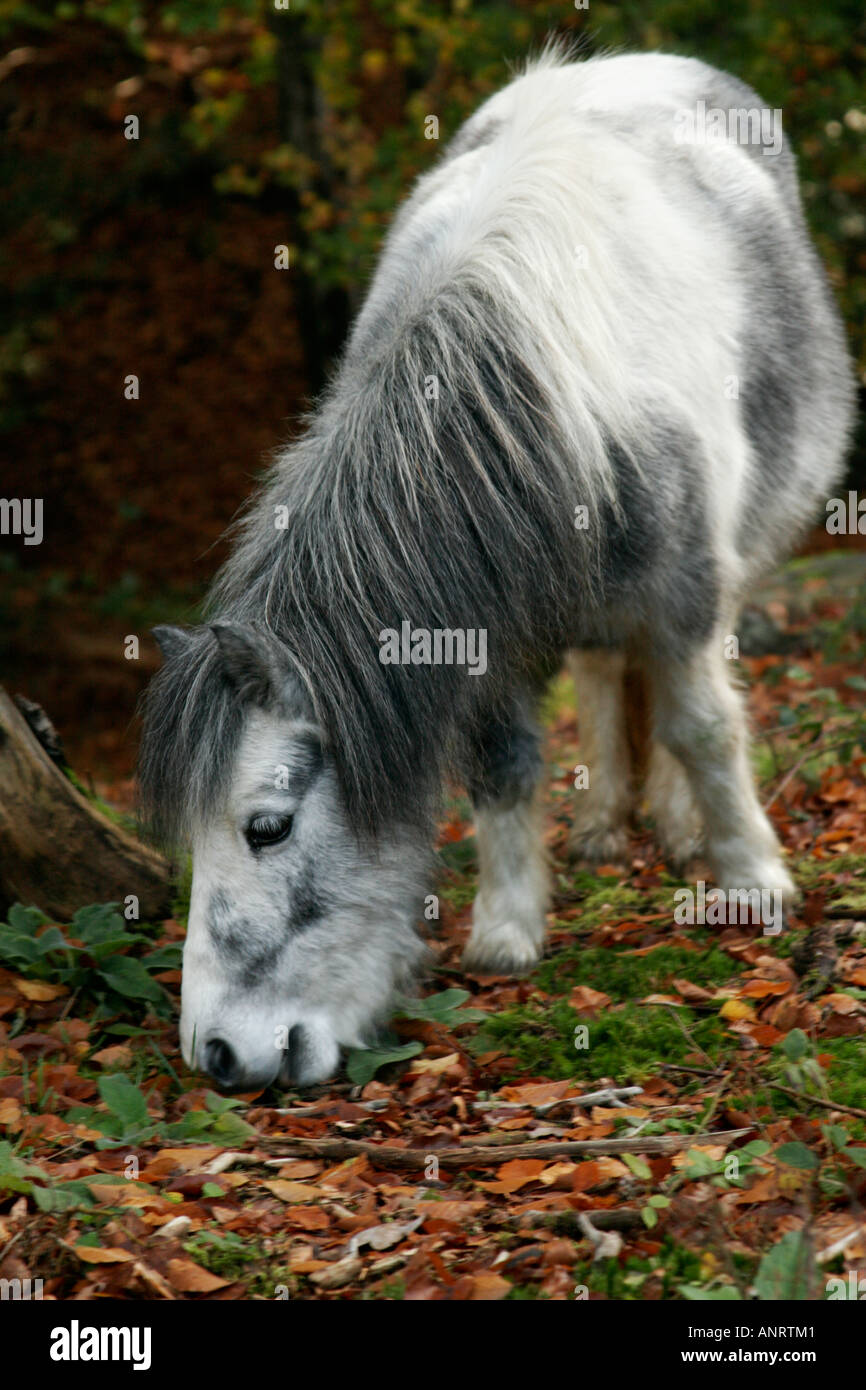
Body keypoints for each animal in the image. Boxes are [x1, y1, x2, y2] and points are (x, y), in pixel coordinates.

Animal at [139, 44, 855, 1089]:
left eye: (265, 826)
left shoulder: (684, 593)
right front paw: (510, 932)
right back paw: (604, 824)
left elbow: (701, 726)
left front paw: (753, 877)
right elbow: (505, 764)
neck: (538, 408)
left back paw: (682, 827)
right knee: (603, 671)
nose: (222, 1057)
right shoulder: (486, 642)